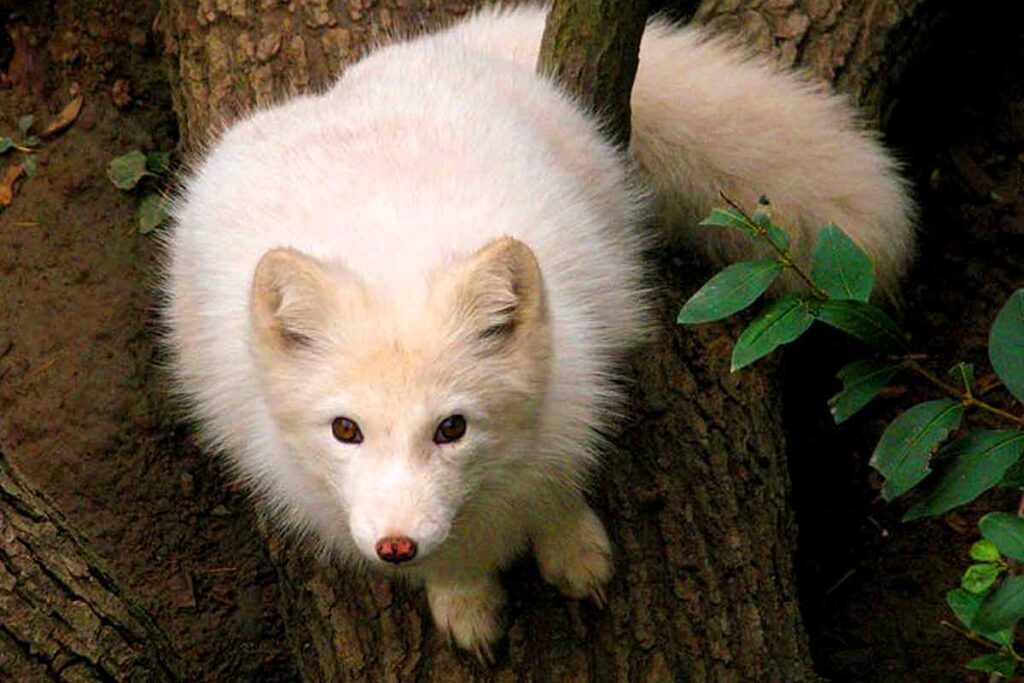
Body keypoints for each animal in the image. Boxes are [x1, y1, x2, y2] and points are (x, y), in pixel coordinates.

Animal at [162, 4, 915, 658]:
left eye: (452, 428)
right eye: (346, 430)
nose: (396, 545)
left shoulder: (580, 382)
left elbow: (557, 482)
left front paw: (572, 548)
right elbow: (453, 564)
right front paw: (462, 596)